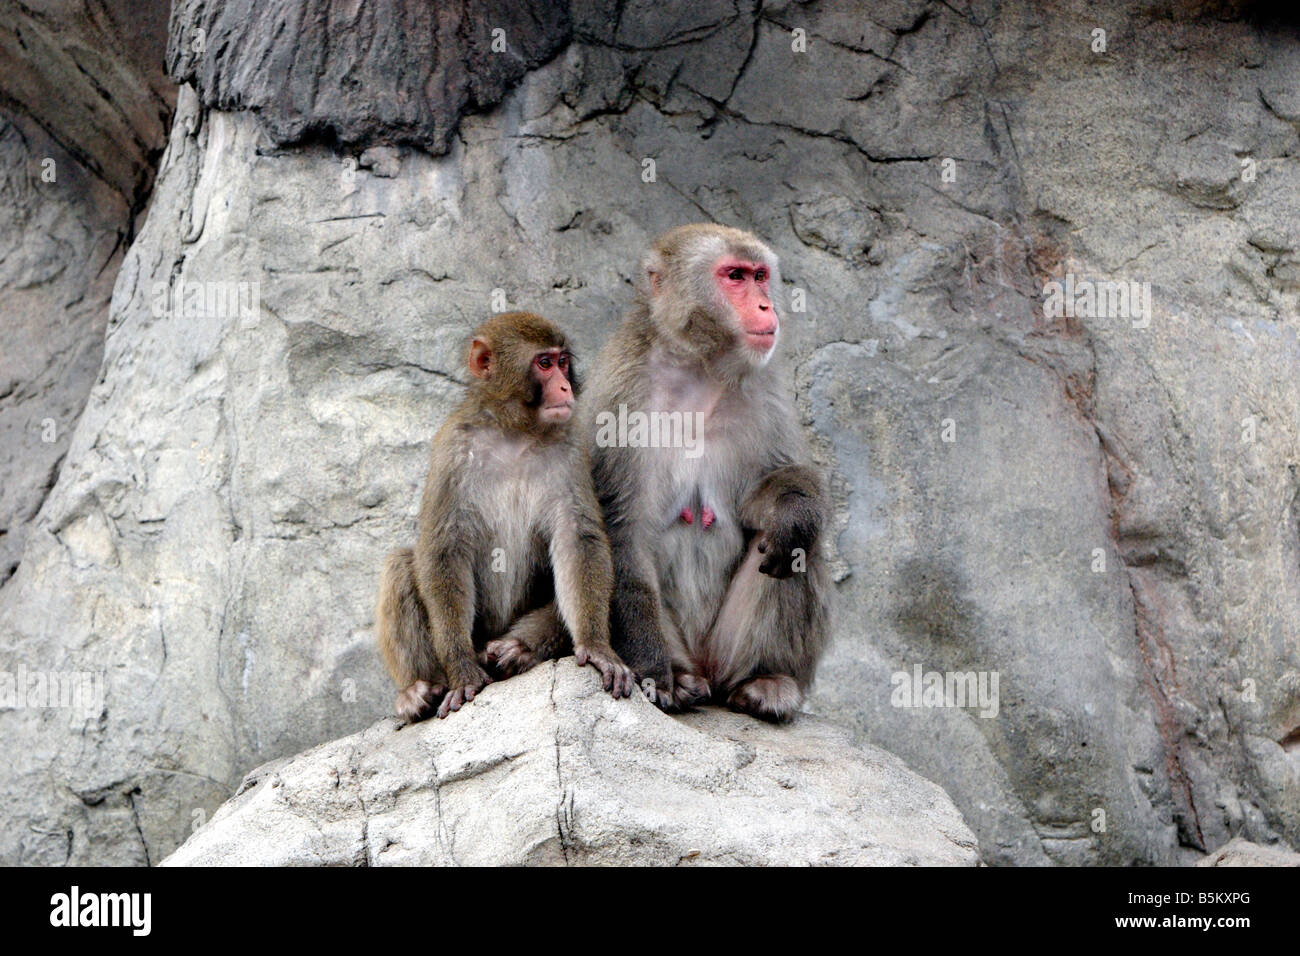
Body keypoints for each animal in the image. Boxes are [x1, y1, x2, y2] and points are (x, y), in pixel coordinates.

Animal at [375, 311, 636, 722]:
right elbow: (443, 550)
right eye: (544, 364)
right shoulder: (452, 448)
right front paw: (461, 668)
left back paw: (519, 650)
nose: (565, 387)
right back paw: (417, 690)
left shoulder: (569, 447)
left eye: (563, 361)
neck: (514, 431)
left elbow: (578, 541)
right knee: (401, 563)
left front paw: (595, 646)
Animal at [580, 223, 831, 722]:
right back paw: (680, 678)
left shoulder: (763, 390)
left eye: (759, 276)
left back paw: (765, 680)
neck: (697, 368)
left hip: (725, 651)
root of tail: (707, 668)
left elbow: (768, 493)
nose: (766, 306)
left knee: (799, 551)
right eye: (734, 276)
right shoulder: (618, 395)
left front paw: (793, 511)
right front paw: (655, 674)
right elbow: (622, 531)